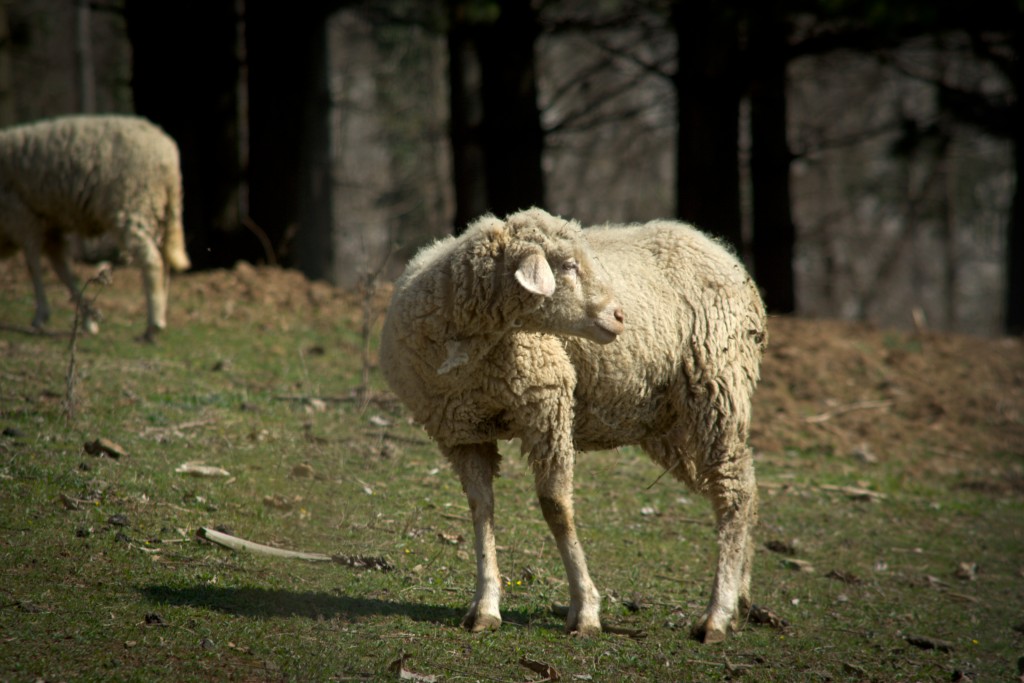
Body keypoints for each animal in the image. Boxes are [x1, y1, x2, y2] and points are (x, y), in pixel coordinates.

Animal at [0, 114, 191, 340]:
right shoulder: (50, 226)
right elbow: (62, 269)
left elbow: (34, 264)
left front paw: (42, 316)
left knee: (152, 261)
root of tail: (169, 156)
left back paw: (153, 325)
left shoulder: (22, 215)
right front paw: (88, 320)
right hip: (158, 208)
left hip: (132, 203)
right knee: (164, 261)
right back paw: (158, 319)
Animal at [379, 207, 767, 643]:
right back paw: (740, 599)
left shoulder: (547, 405)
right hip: (670, 426)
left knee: (734, 492)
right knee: (739, 490)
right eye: (566, 265)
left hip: (718, 387)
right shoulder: (461, 432)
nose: (619, 316)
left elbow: (556, 507)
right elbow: (481, 509)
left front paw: (585, 609)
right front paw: (485, 606)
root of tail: (721, 252)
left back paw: (717, 613)